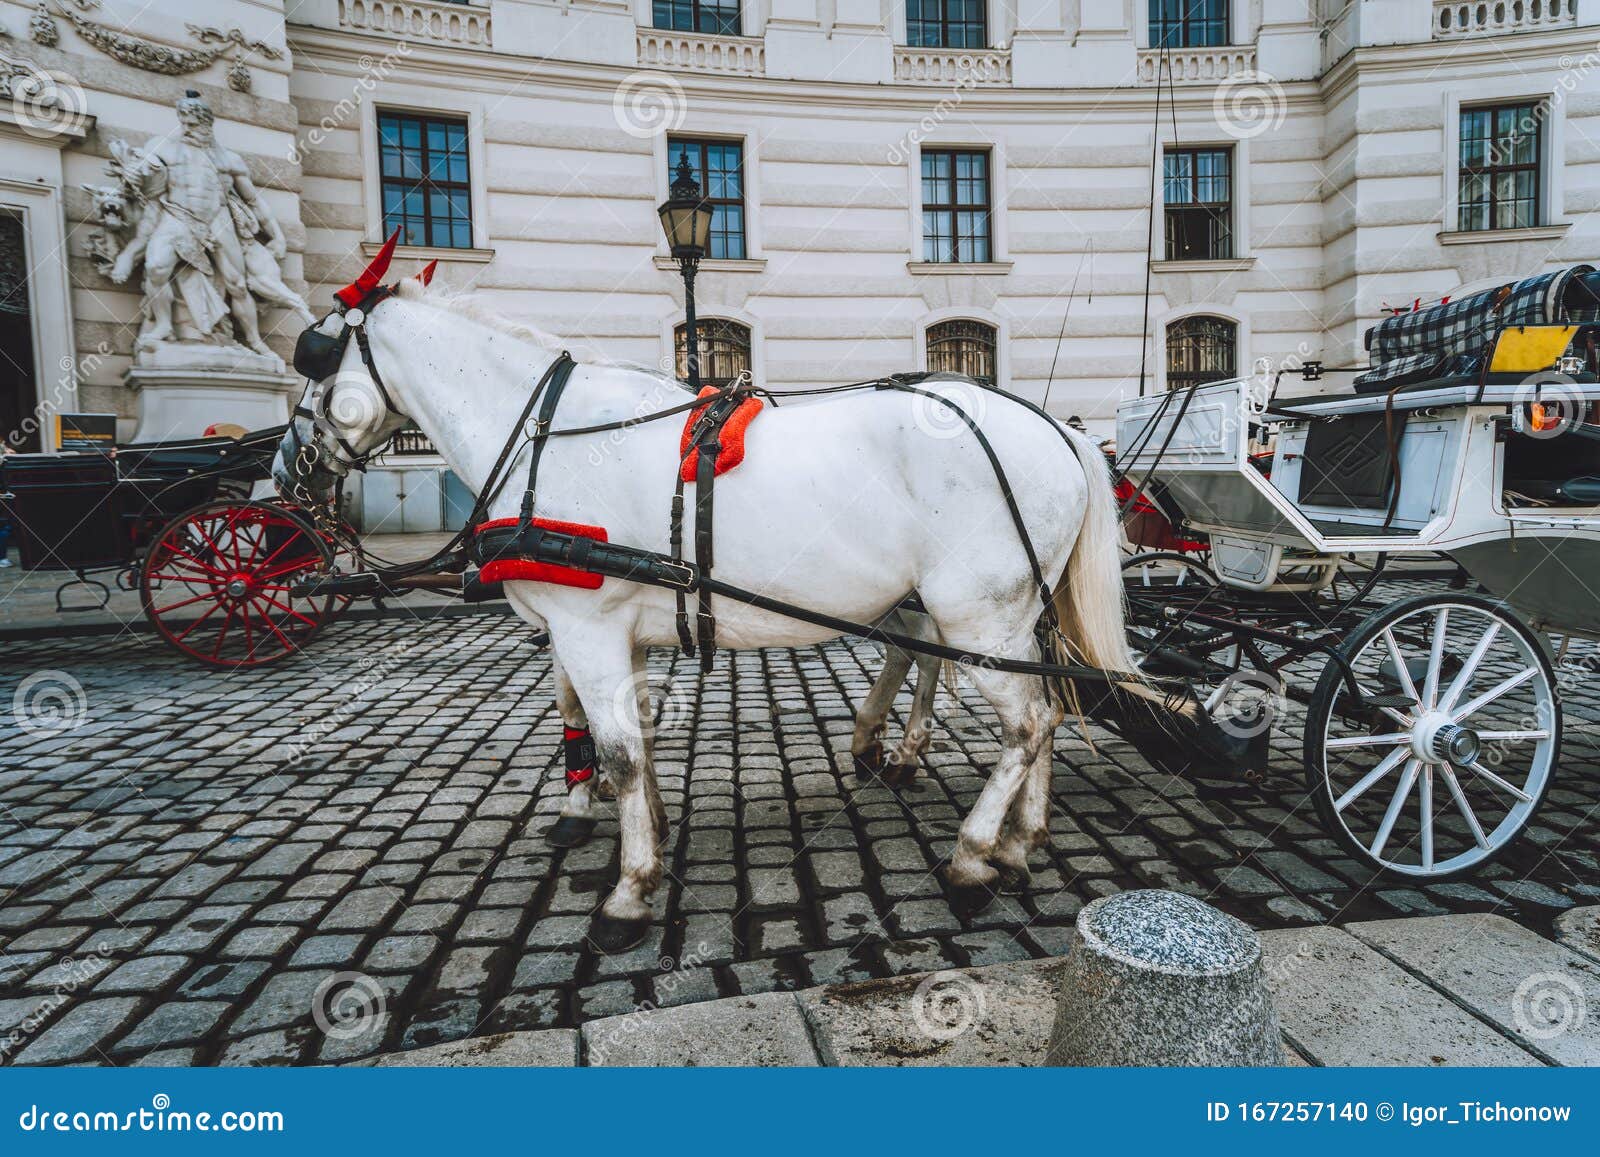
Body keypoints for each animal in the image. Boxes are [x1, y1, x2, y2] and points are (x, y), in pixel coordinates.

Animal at [275, 250, 1137, 952]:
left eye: (313, 356)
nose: (285, 469)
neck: (545, 437)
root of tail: (1060, 432)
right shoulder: (611, 633)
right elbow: (635, 739)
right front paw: (647, 832)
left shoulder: (585, 627)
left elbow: (619, 750)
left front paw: (627, 893)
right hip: (1002, 618)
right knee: (1040, 707)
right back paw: (1019, 840)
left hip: (978, 617)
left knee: (1025, 723)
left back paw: (972, 854)